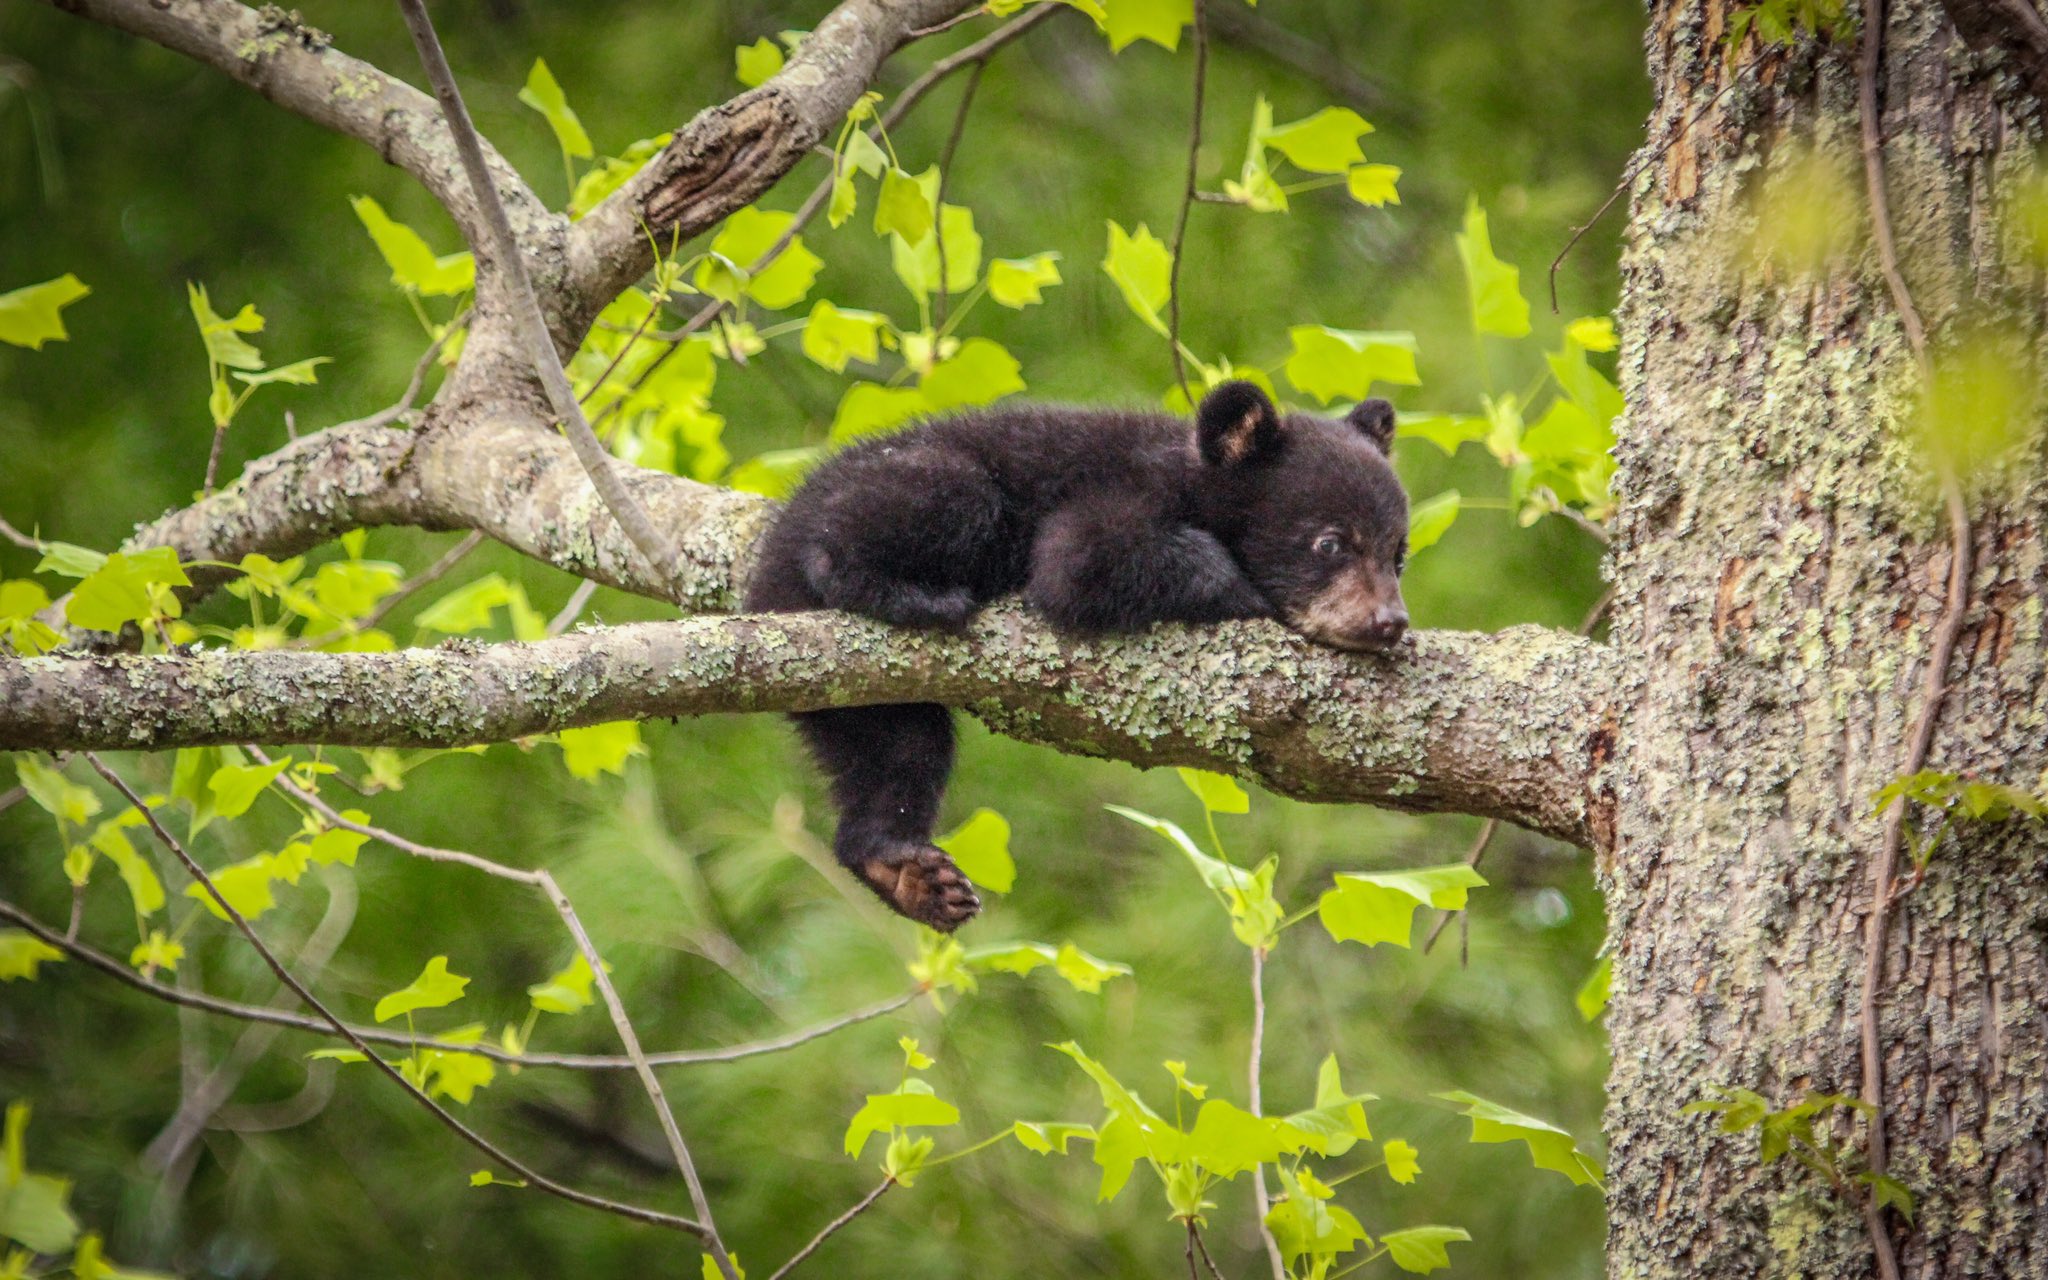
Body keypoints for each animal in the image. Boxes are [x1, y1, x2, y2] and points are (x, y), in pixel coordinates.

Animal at [744, 379, 1411, 931]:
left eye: (1398, 554)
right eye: (1330, 542)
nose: (1390, 622)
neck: (1190, 481)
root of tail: (768, 570)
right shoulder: (1119, 492)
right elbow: (1081, 559)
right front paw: (1244, 591)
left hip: (861, 701)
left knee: (899, 752)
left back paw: (909, 873)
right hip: (923, 488)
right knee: (931, 509)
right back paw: (913, 595)